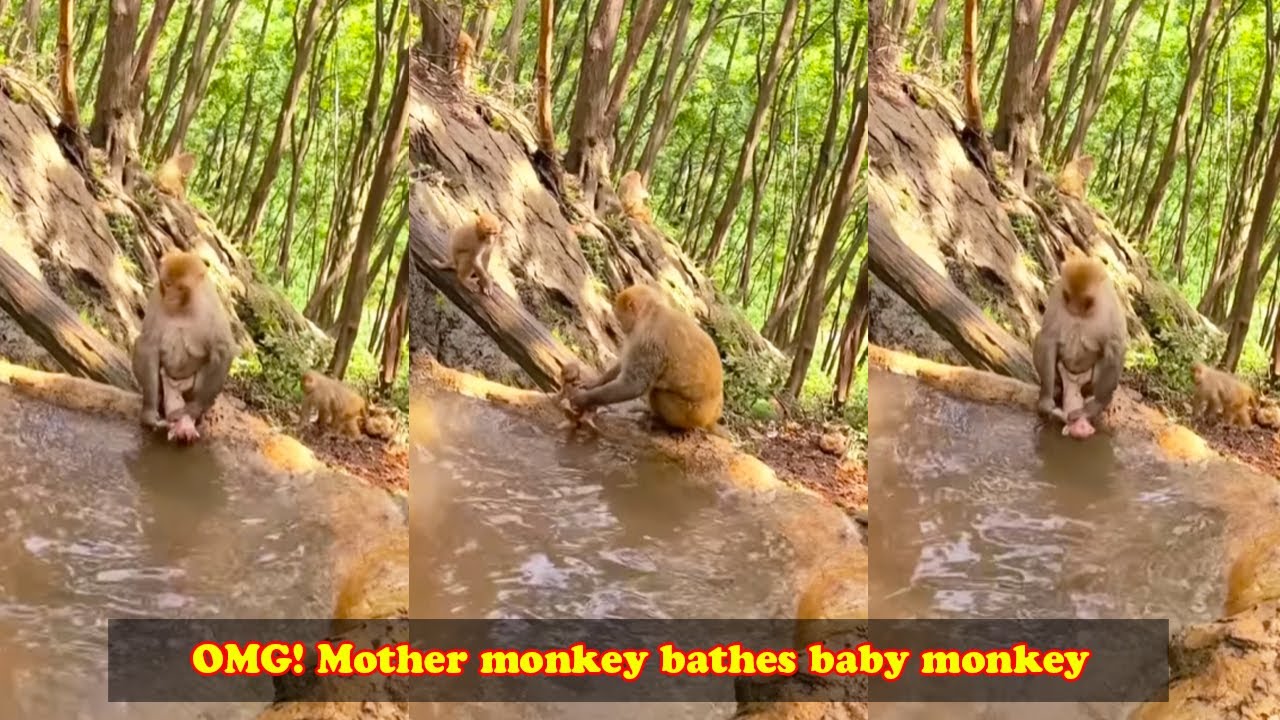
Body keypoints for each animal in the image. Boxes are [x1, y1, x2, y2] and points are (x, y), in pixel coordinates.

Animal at [132, 250, 237, 444]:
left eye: (181, 288)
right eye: (168, 284)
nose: (170, 297)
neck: (184, 308)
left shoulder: (210, 304)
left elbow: (222, 350)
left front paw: (194, 409)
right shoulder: (157, 295)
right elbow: (148, 343)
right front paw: (149, 412)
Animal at [567, 285, 724, 432]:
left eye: (619, 315)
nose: (622, 325)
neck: (652, 313)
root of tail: (711, 418)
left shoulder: (648, 342)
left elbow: (633, 385)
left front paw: (583, 399)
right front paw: (594, 383)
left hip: (690, 414)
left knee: (657, 393)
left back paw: (663, 422)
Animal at [1032, 256, 1127, 439]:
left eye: (1088, 301)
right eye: (1067, 296)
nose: (1073, 309)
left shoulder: (1112, 307)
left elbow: (1114, 350)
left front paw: (1094, 407)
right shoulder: (1057, 292)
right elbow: (1048, 337)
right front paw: (1046, 400)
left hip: (1088, 378)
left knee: (1106, 358)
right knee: (1040, 337)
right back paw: (1056, 388)